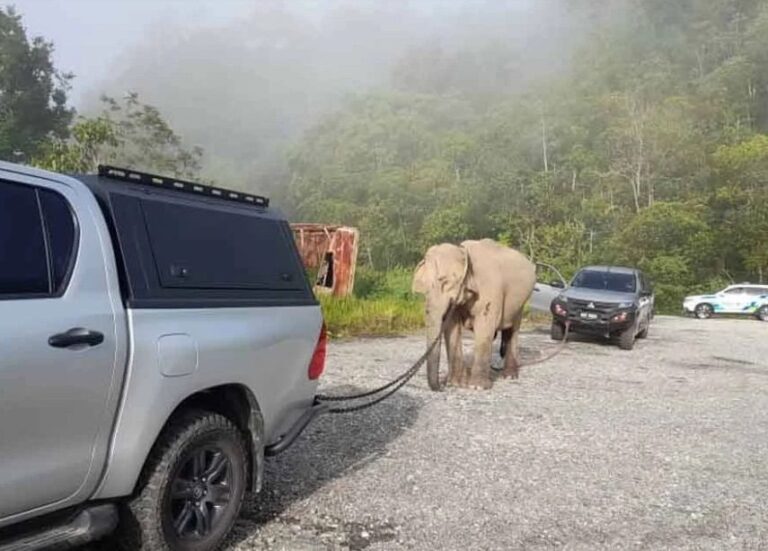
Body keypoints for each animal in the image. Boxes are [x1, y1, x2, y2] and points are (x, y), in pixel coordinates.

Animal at [411, 239, 536, 391]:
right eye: (425, 287)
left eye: (445, 282)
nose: (441, 387)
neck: (463, 252)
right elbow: (452, 327)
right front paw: (454, 383)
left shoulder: (490, 290)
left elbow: (485, 325)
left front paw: (477, 387)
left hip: (521, 303)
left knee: (513, 329)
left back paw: (509, 376)